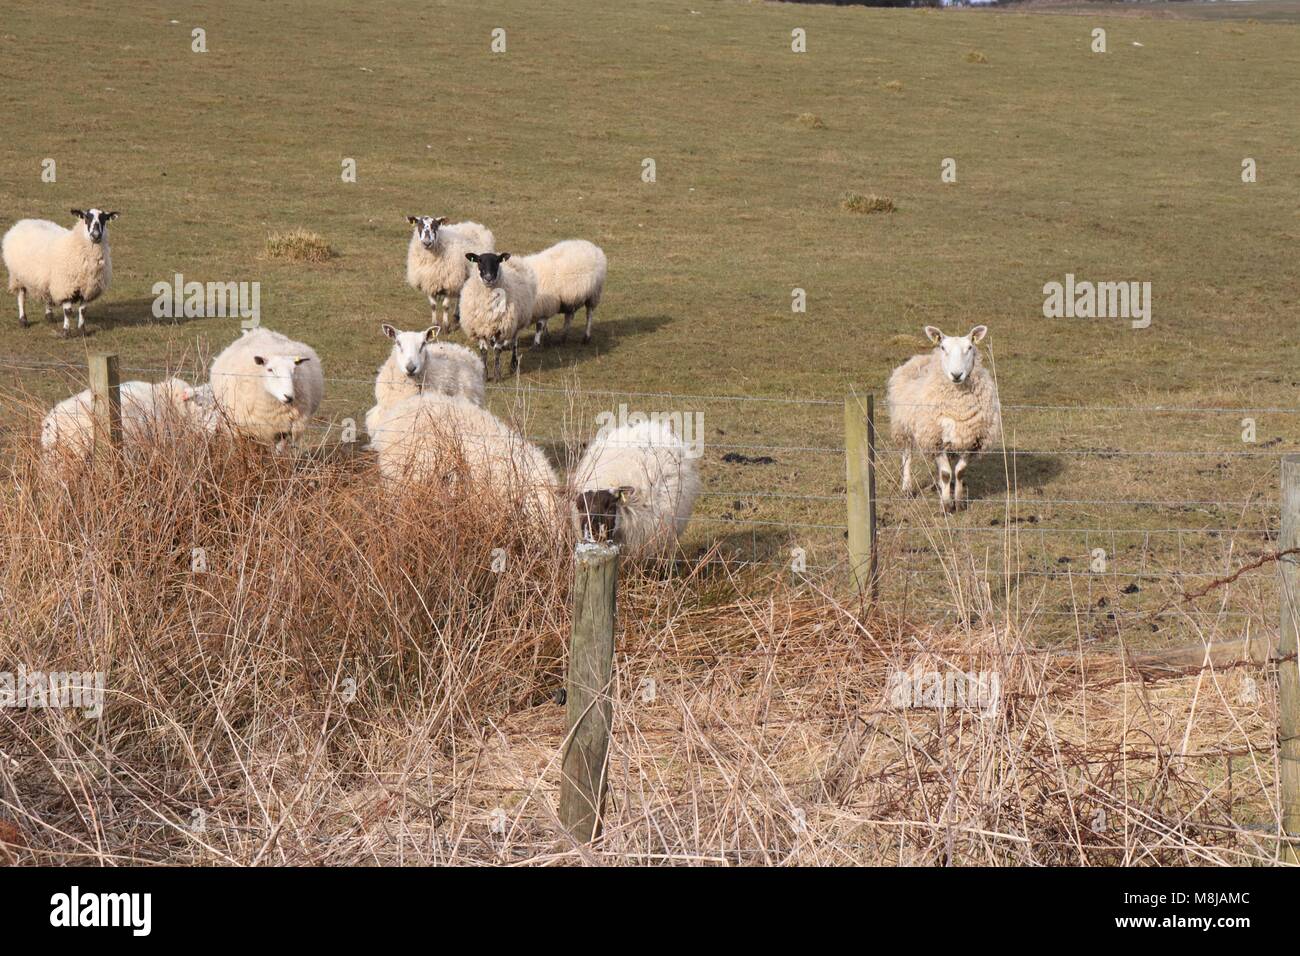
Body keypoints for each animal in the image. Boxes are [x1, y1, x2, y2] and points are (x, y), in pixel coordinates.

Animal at [459, 252, 538, 381]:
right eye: (479, 260)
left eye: (497, 261)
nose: (488, 278)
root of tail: (515, 259)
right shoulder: (479, 329)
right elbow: (483, 352)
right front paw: (484, 375)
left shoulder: (501, 328)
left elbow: (497, 351)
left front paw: (497, 376)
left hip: (517, 323)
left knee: (515, 343)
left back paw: (513, 364)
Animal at [886, 325, 1001, 513]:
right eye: (943, 347)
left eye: (970, 347)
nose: (957, 374)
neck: (958, 405)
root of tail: (921, 357)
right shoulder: (935, 438)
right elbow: (946, 473)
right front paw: (946, 505)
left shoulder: (970, 438)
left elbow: (959, 472)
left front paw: (959, 502)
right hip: (903, 427)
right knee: (907, 455)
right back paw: (907, 488)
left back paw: (937, 485)